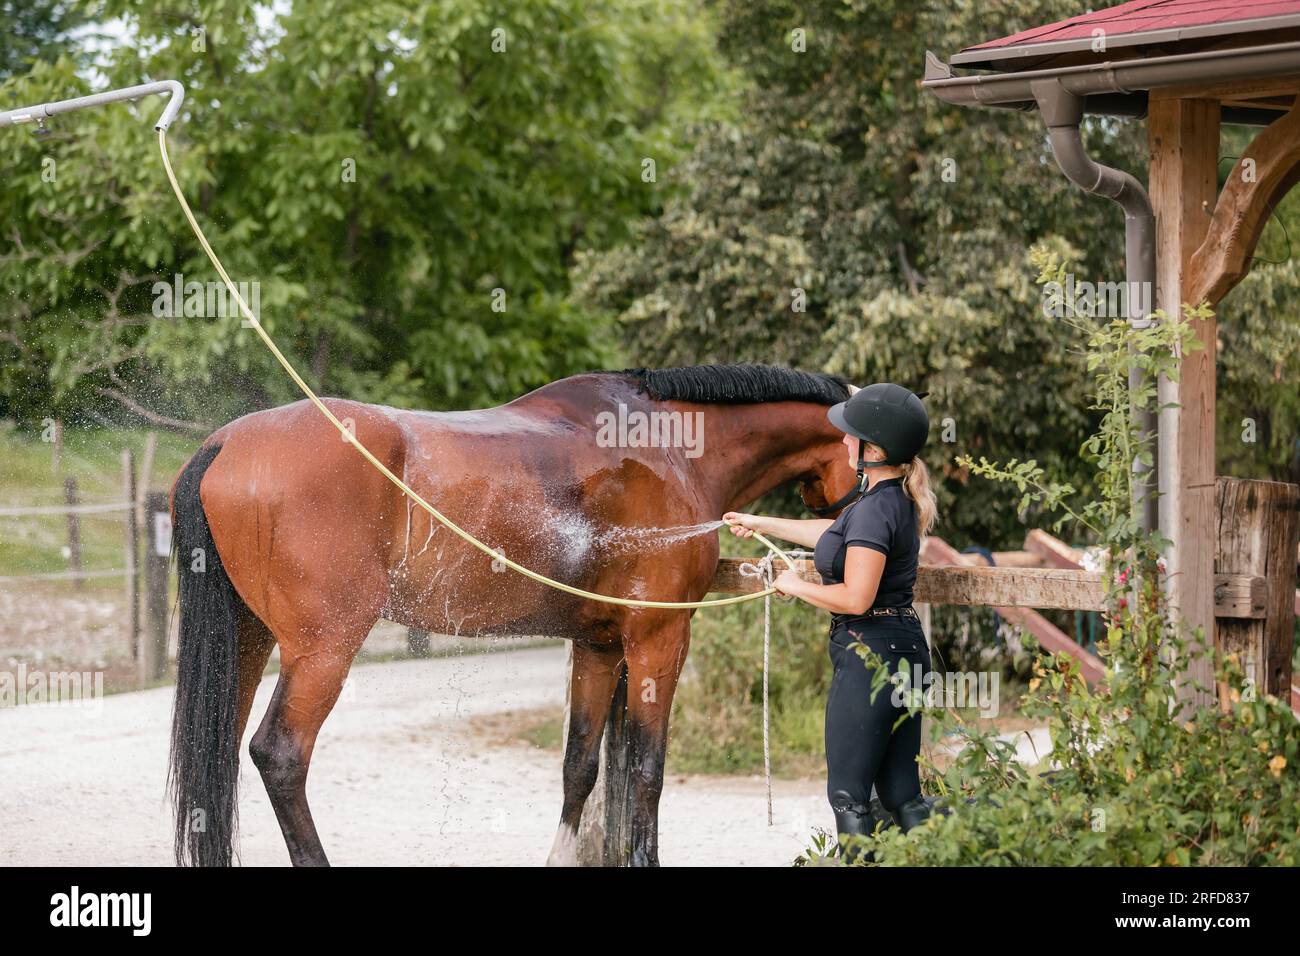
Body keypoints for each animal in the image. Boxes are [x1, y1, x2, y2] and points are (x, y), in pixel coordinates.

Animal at [167, 363, 860, 866]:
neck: (674, 448)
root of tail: (224, 444)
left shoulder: (600, 646)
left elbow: (581, 765)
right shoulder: (658, 639)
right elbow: (645, 771)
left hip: (248, 642)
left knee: (220, 754)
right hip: (323, 651)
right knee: (279, 755)